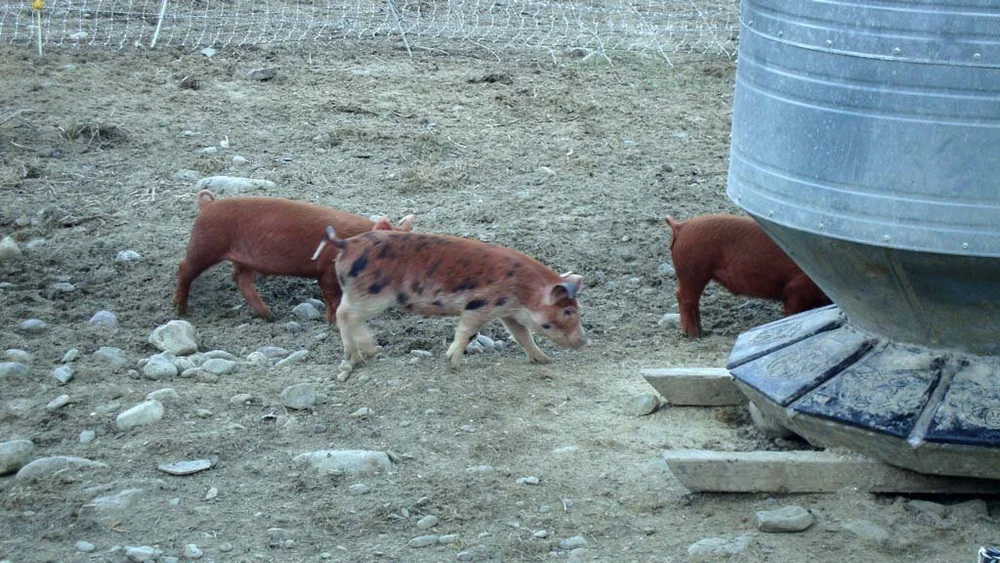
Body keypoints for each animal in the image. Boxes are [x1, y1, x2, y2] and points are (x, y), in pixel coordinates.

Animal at [173, 190, 415, 323]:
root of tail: (208, 205)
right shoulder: (327, 270)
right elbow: (333, 298)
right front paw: (333, 323)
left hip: (241, 259)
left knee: (241, 279)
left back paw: (269, 316)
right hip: (206, 244)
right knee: (184, 268)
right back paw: (181, 310)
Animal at [311, 226, 587, 370]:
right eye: (568, 311)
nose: (585, 342)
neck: (524, 291)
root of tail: (347, 244)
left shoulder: (508, 313)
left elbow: (522, 335)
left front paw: (544, 360)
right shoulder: (480, 305)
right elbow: (466, 332)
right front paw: (453, 363)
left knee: (351, 317)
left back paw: (372, 351)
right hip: (372, 295)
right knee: (345, 315)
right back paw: (358, 358)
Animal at [664, 214, 831, 337]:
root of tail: (682, 226)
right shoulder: (796, 289)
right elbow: (794, 312)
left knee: (692, 300)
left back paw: (701, 331)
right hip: (693, 270)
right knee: (684, 297)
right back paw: (692, 335)